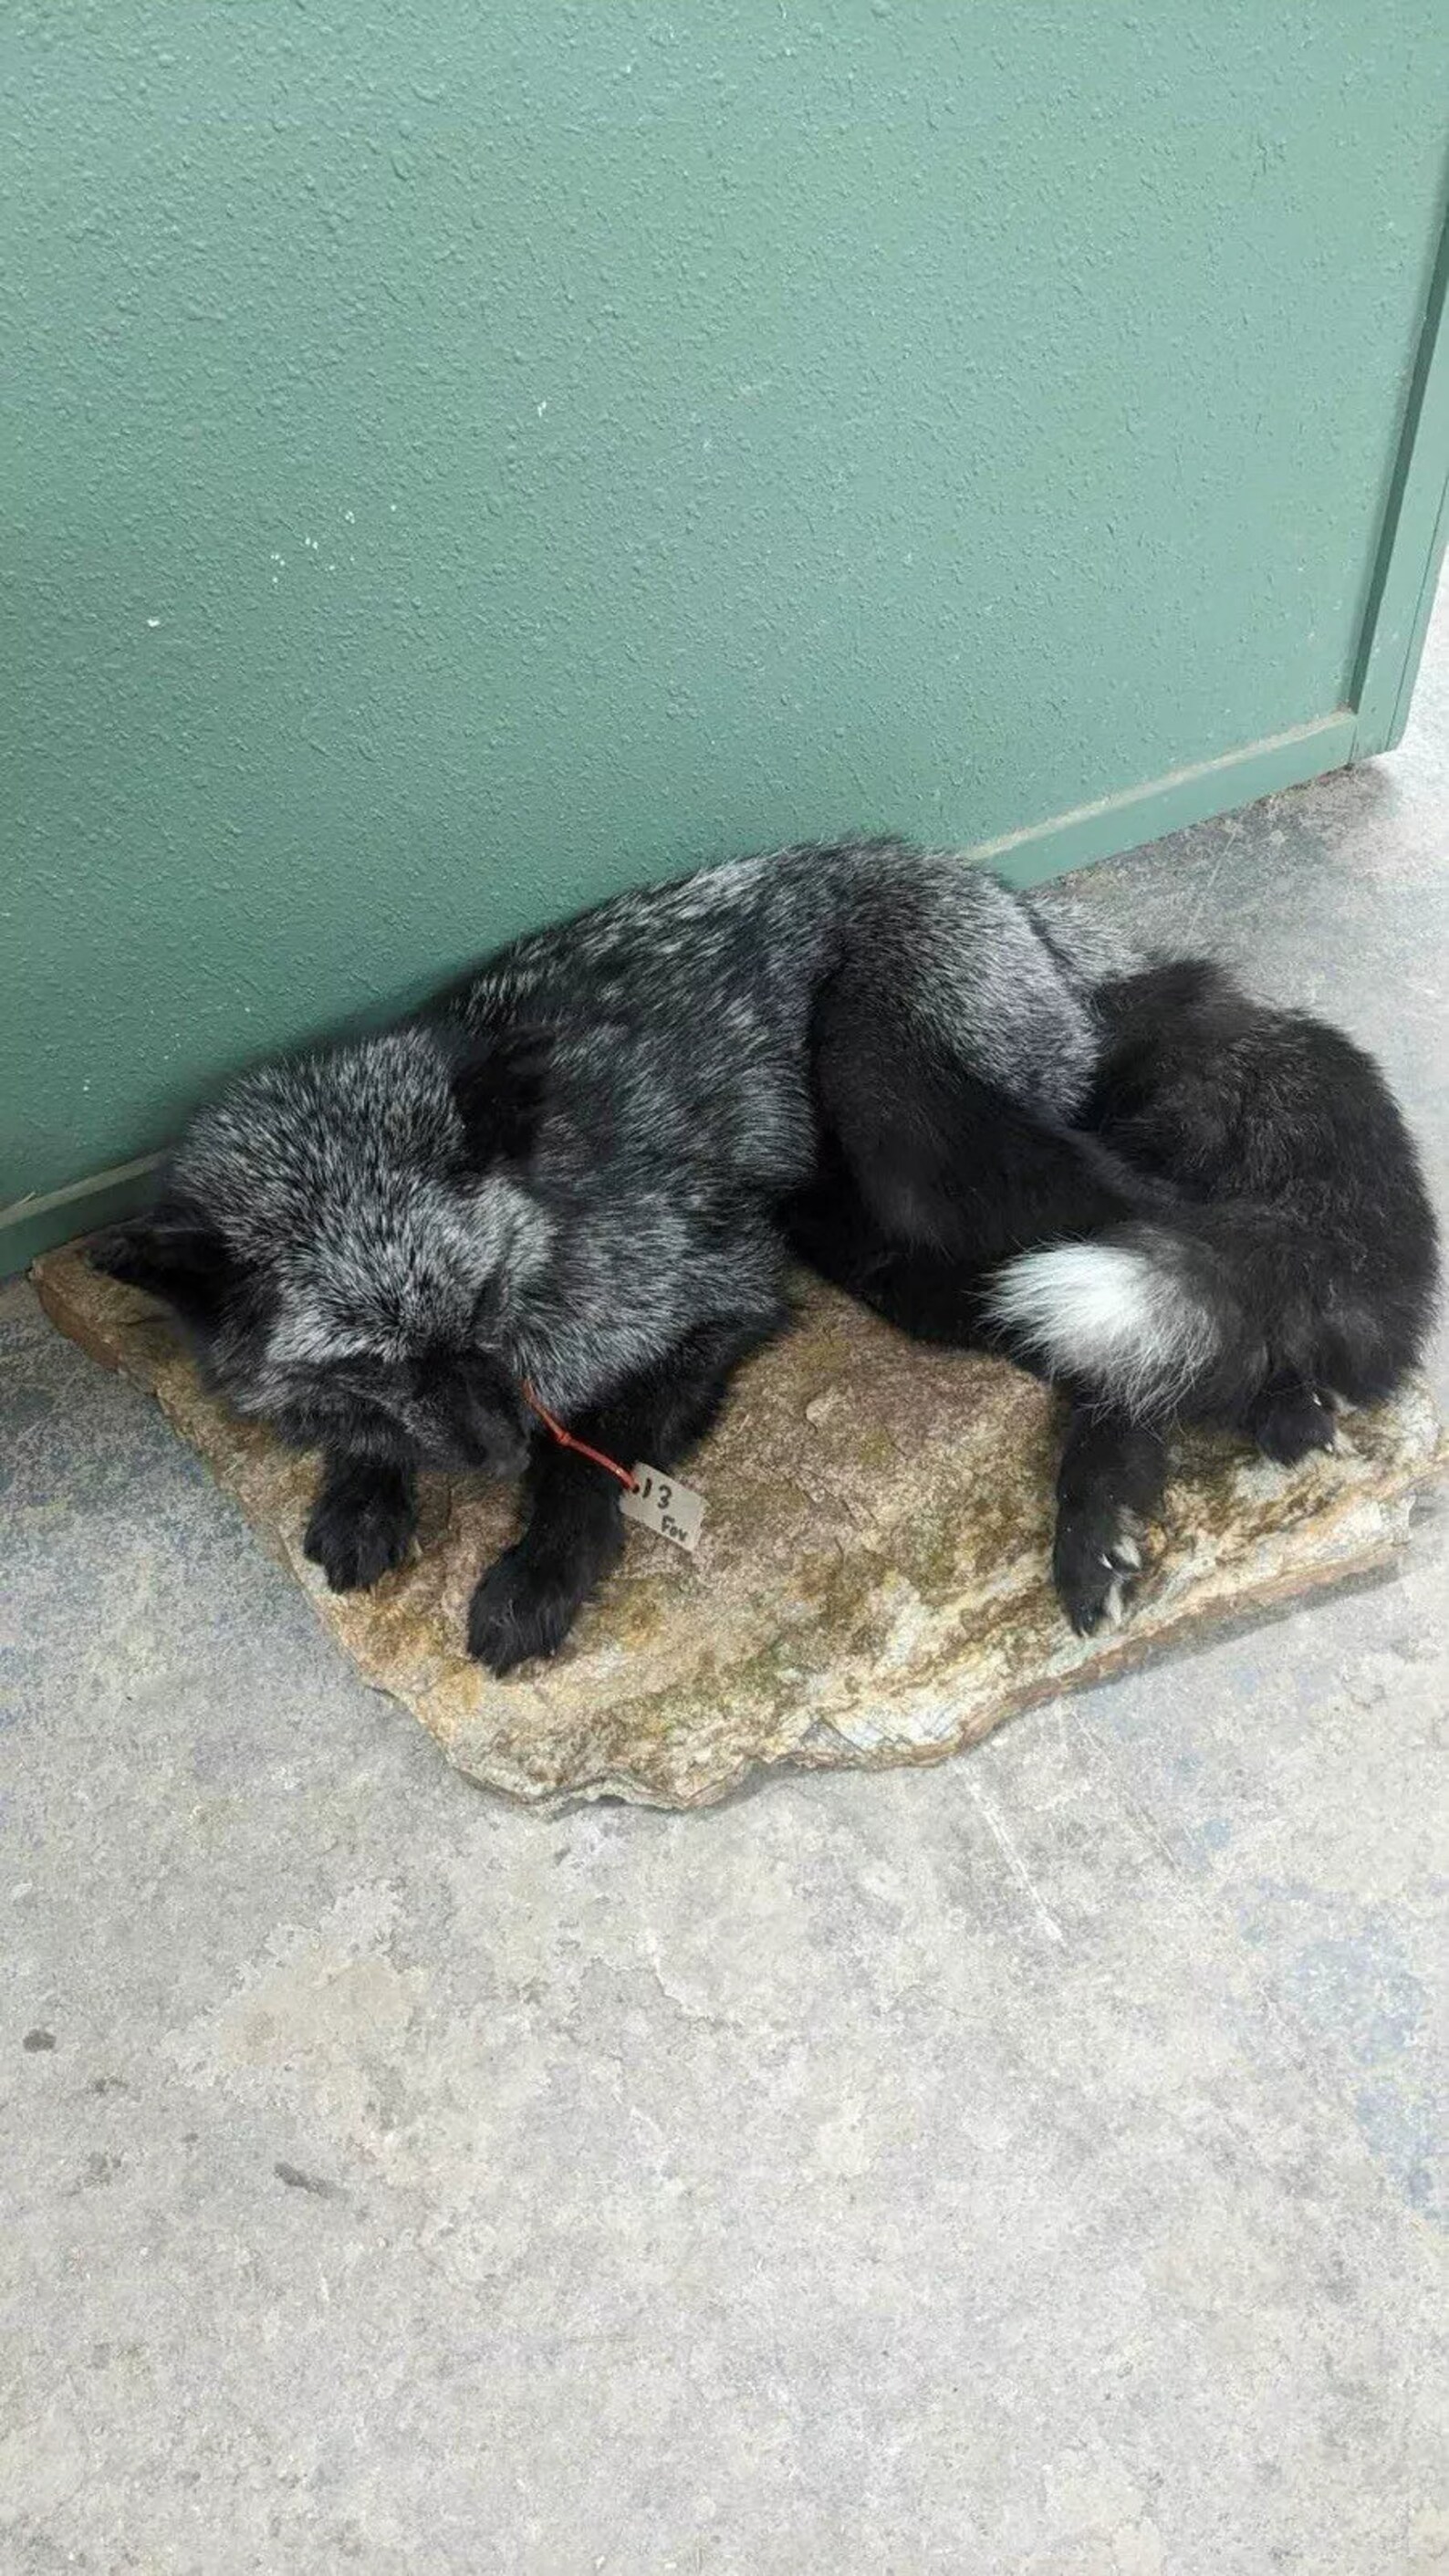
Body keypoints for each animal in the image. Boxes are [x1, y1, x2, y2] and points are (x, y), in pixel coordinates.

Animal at [90, 842, 1436, 1663]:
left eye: (483, 1300)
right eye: (371, 1360)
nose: (491, 1450)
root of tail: (1021, 906)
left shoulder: (712, 1292)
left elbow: (590, 1470)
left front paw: (539, 1567)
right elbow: (356, 1439)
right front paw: (362, 1487)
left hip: (912, 1122)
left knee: (1158, 1224)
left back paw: (1143, 1488)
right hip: (881, 1243)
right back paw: (1247, 1417)